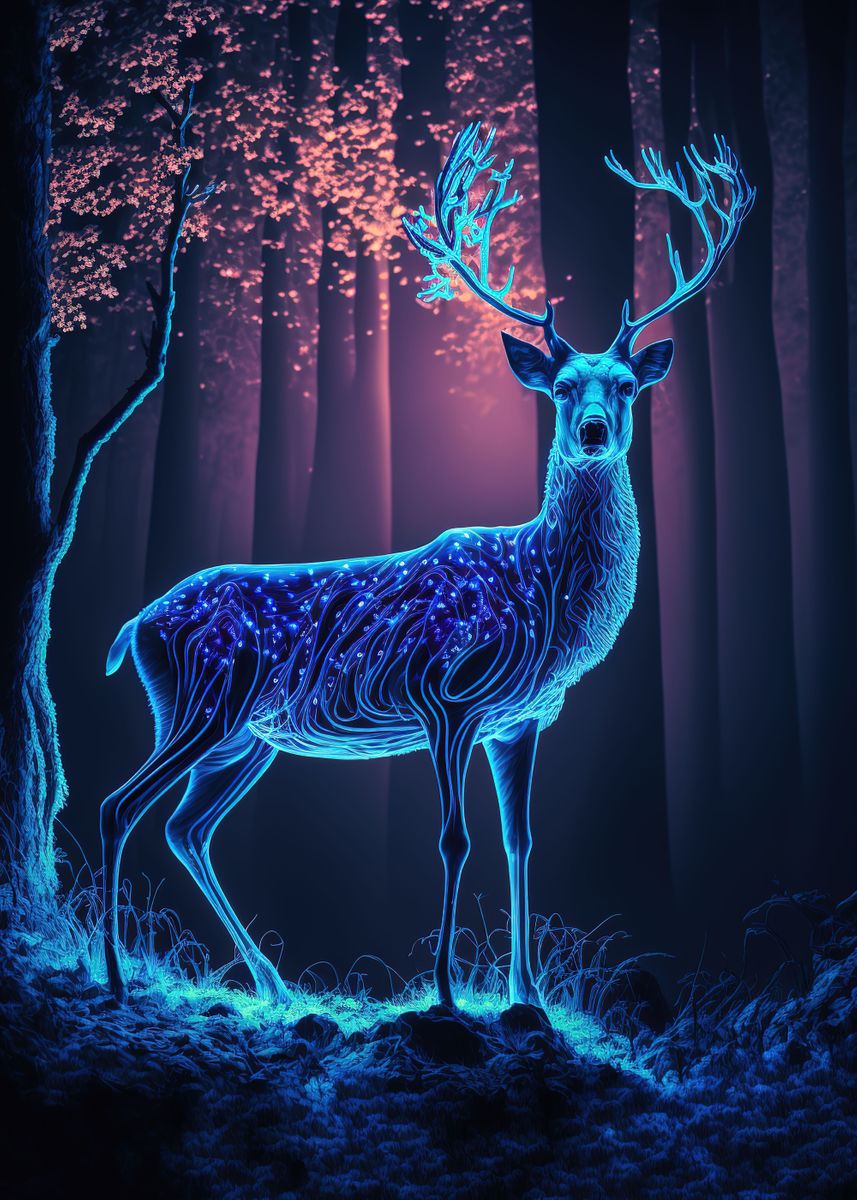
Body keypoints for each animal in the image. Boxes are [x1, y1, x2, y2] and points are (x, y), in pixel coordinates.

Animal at [100, 123, 754, 1007]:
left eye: (623, 385)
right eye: (559, 389)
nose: (590, 431)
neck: (544, 602)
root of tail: (135, 623)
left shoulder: (520, 717)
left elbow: (520, 841)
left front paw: (526, 993)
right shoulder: (443, 695)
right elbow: (452, 839)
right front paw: (445, 989)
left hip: (248, 734)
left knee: (185, 825)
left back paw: (275, 986)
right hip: (202, 698)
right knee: (120, 805)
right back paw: (113, 974)